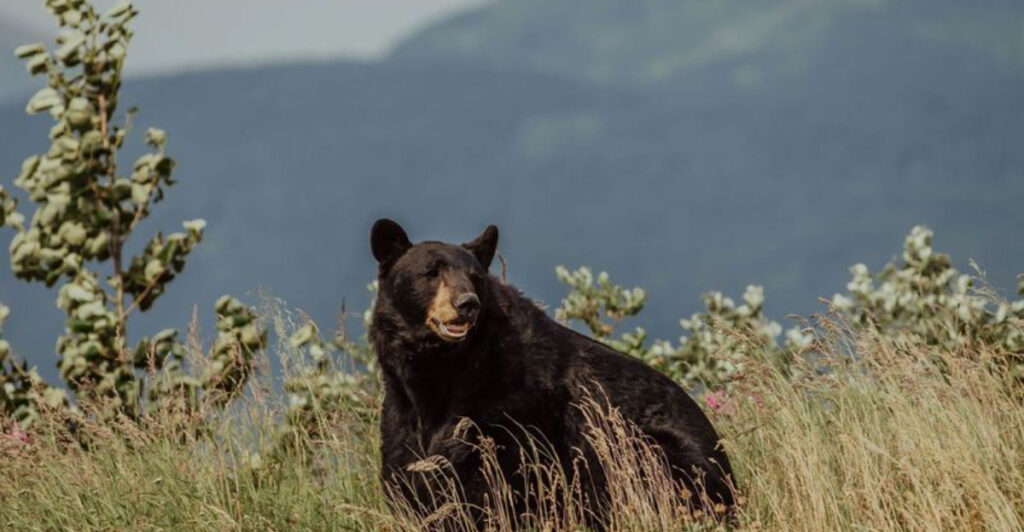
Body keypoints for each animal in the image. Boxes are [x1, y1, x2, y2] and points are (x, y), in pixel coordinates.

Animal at [368, 219, 736, 528]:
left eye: (475, 277)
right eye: (431, 272)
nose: (467, 303)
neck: (441, 371)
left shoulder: (508, 406)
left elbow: (493, 478)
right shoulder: (402, 411)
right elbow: (407, 472)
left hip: (651, 451)